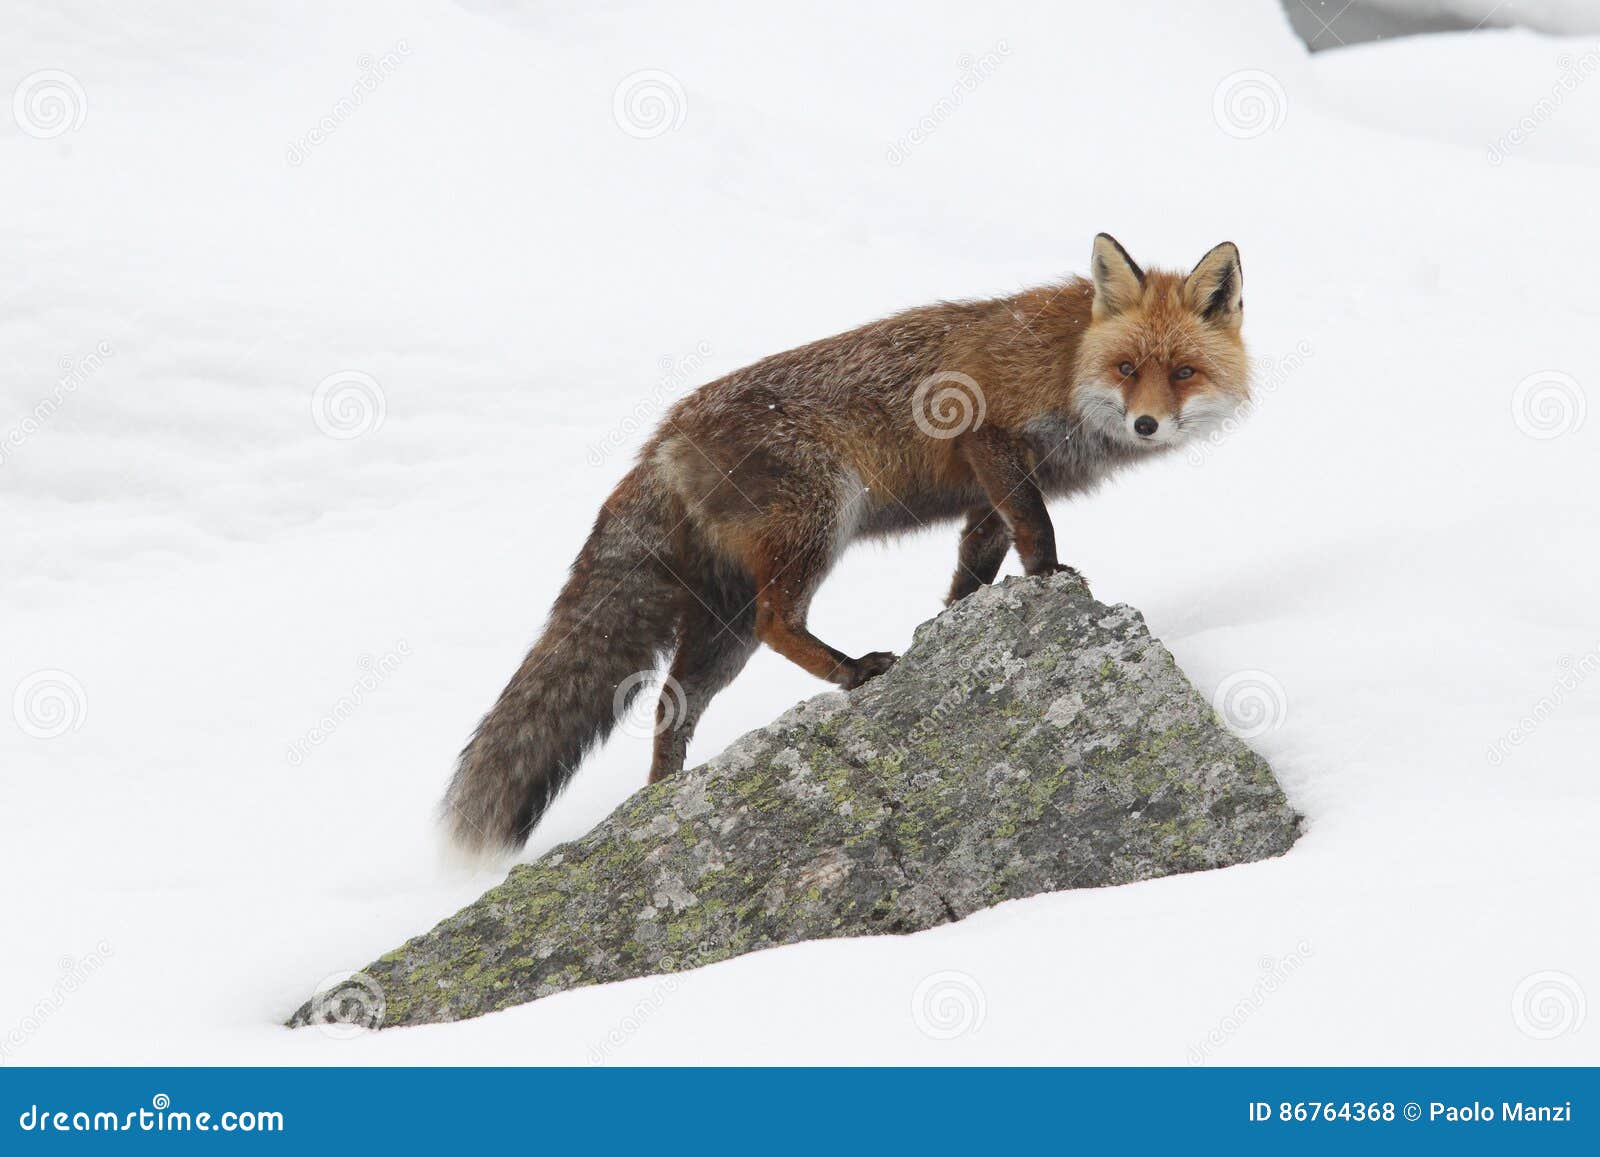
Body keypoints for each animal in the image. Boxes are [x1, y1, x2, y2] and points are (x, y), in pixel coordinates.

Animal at [441, 233, 1250, 854]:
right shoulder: (989, 438)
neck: (1065, 360)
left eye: (1183, 372)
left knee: (675, 699)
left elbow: (972, 575)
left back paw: (664, 797)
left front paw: (958, 624)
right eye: (1127, 369)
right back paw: (855, 671)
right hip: (815, 527)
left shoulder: (987, 496)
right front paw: (1052, 583)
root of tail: (665, 434)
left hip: (725, 619)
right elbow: (1037, 532)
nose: (1147, 424)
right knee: (778, 624)